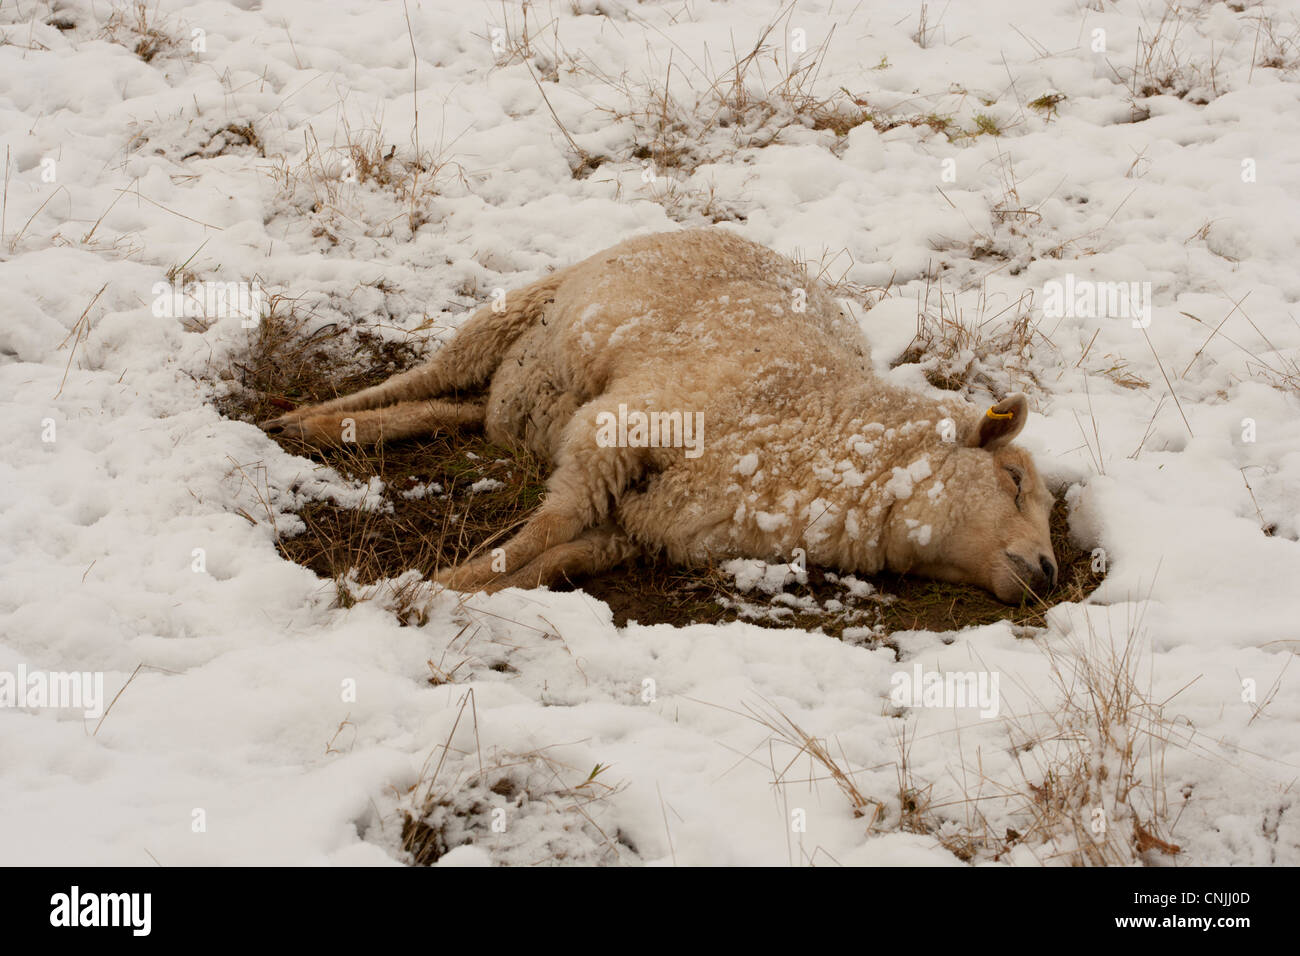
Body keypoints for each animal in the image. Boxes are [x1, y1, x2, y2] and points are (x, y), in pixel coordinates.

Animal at [262, 228, 1057, 603]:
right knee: (421, 376)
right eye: (1015, 481)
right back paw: (304, 423)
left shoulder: (640, 529)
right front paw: (444, 585)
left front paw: (477, 591)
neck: (812, 418)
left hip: (520, 397)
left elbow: (551, 562)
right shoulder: (609, 436)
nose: (1049, 574)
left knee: (452, 407)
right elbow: (542, 531)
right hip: (518, 313)